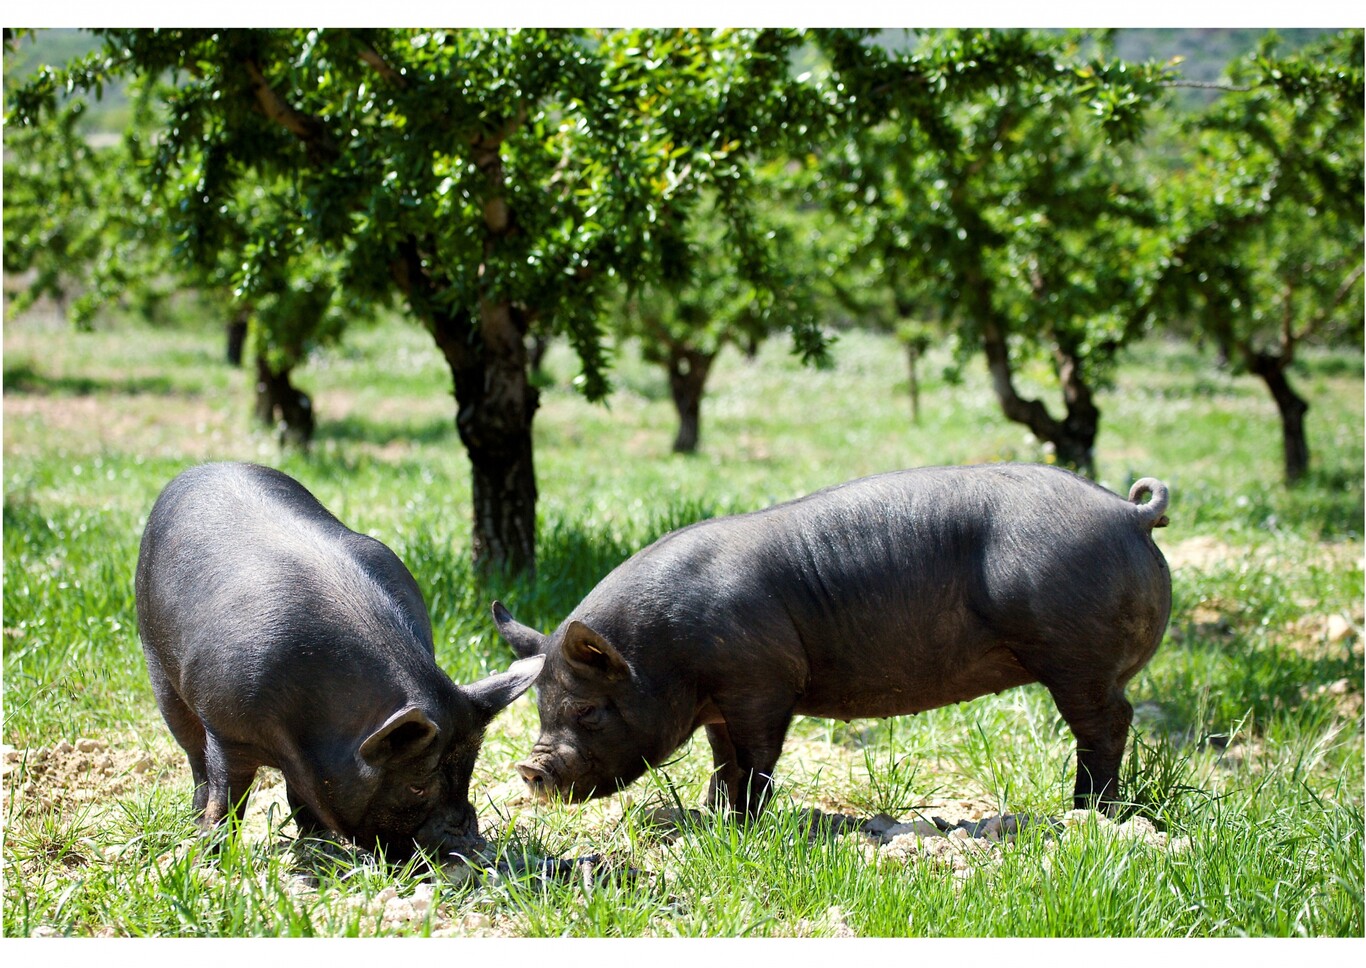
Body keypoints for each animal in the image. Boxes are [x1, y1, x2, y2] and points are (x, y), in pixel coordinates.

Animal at [135, 462, 543, 860]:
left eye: (469, 771)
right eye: (416, 786)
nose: (471, 844)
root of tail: (203, 468)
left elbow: (304, 796)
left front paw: (322, 851)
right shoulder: (225, 729)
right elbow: (227, 798)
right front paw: (209, 856)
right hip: (158, 666)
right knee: (195, 757)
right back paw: (195, 822)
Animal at [493, 463, 1171, 817]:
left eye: (587, 709)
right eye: (541, 706)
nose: (529, 768)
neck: (666, 656)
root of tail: (1130, 513)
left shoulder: (763, 683)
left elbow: (755, 758)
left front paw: (745, 823)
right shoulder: (720, 704)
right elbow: (720, 757)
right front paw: (712, 815)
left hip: (1076, 657)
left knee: (1108, 722)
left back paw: (1086, 814)